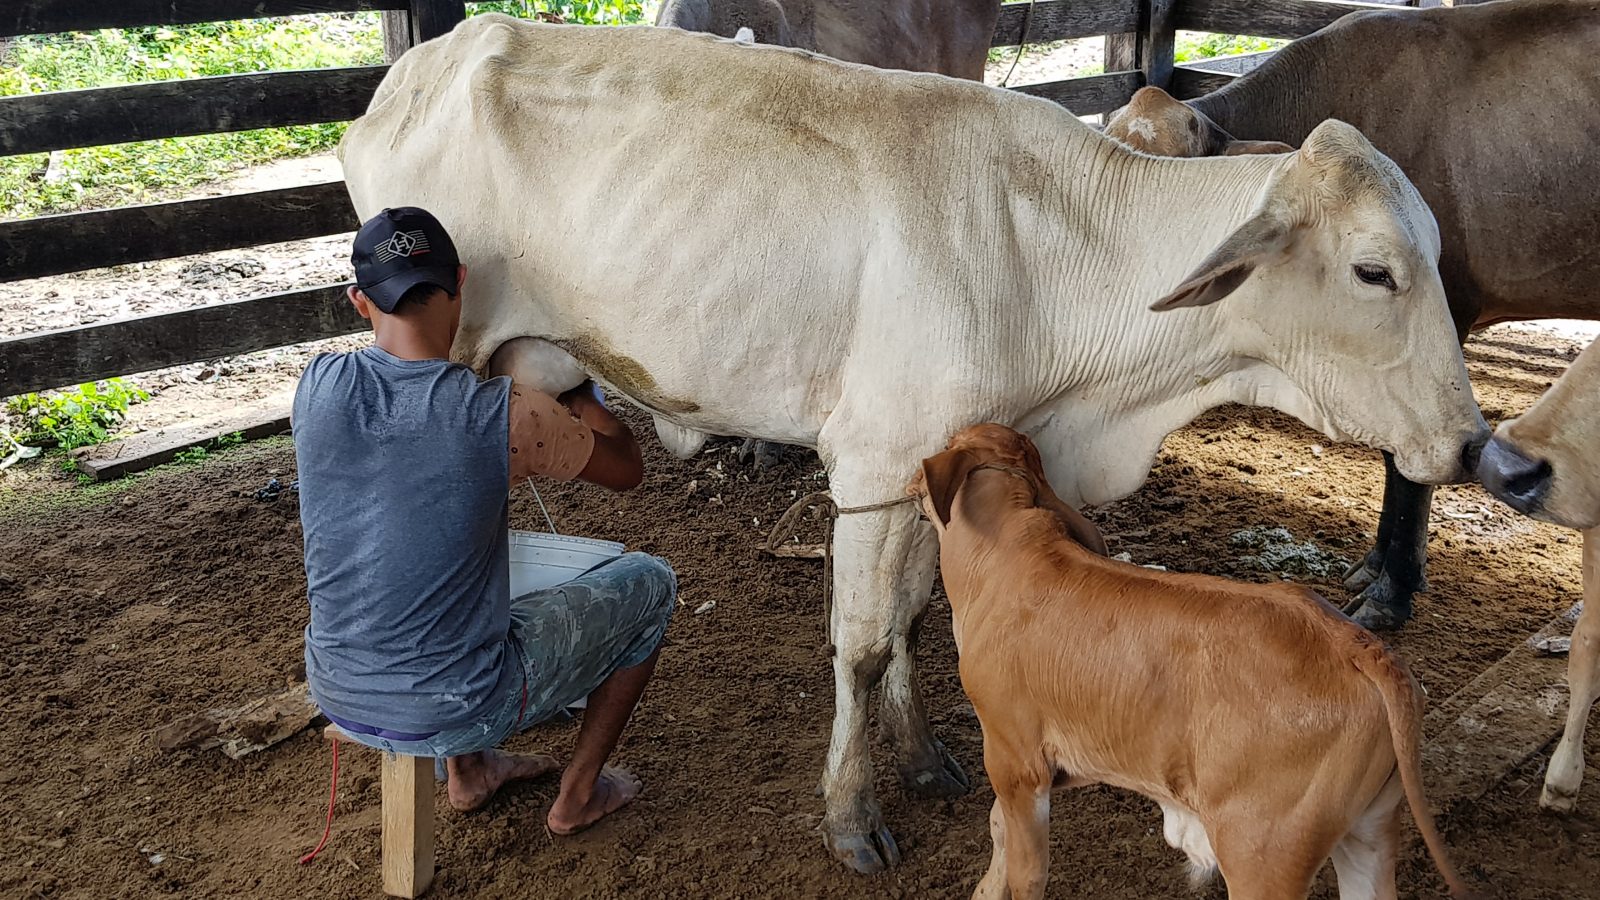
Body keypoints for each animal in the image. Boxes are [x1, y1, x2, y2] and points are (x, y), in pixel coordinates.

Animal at [910, 423, 1475, 900]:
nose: (911, 480)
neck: (999, 557)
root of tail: (1359, 645)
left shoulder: (1014, 755)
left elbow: (1026, 870)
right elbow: (998, 828)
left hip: (1263, 850)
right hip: (1369, 829)